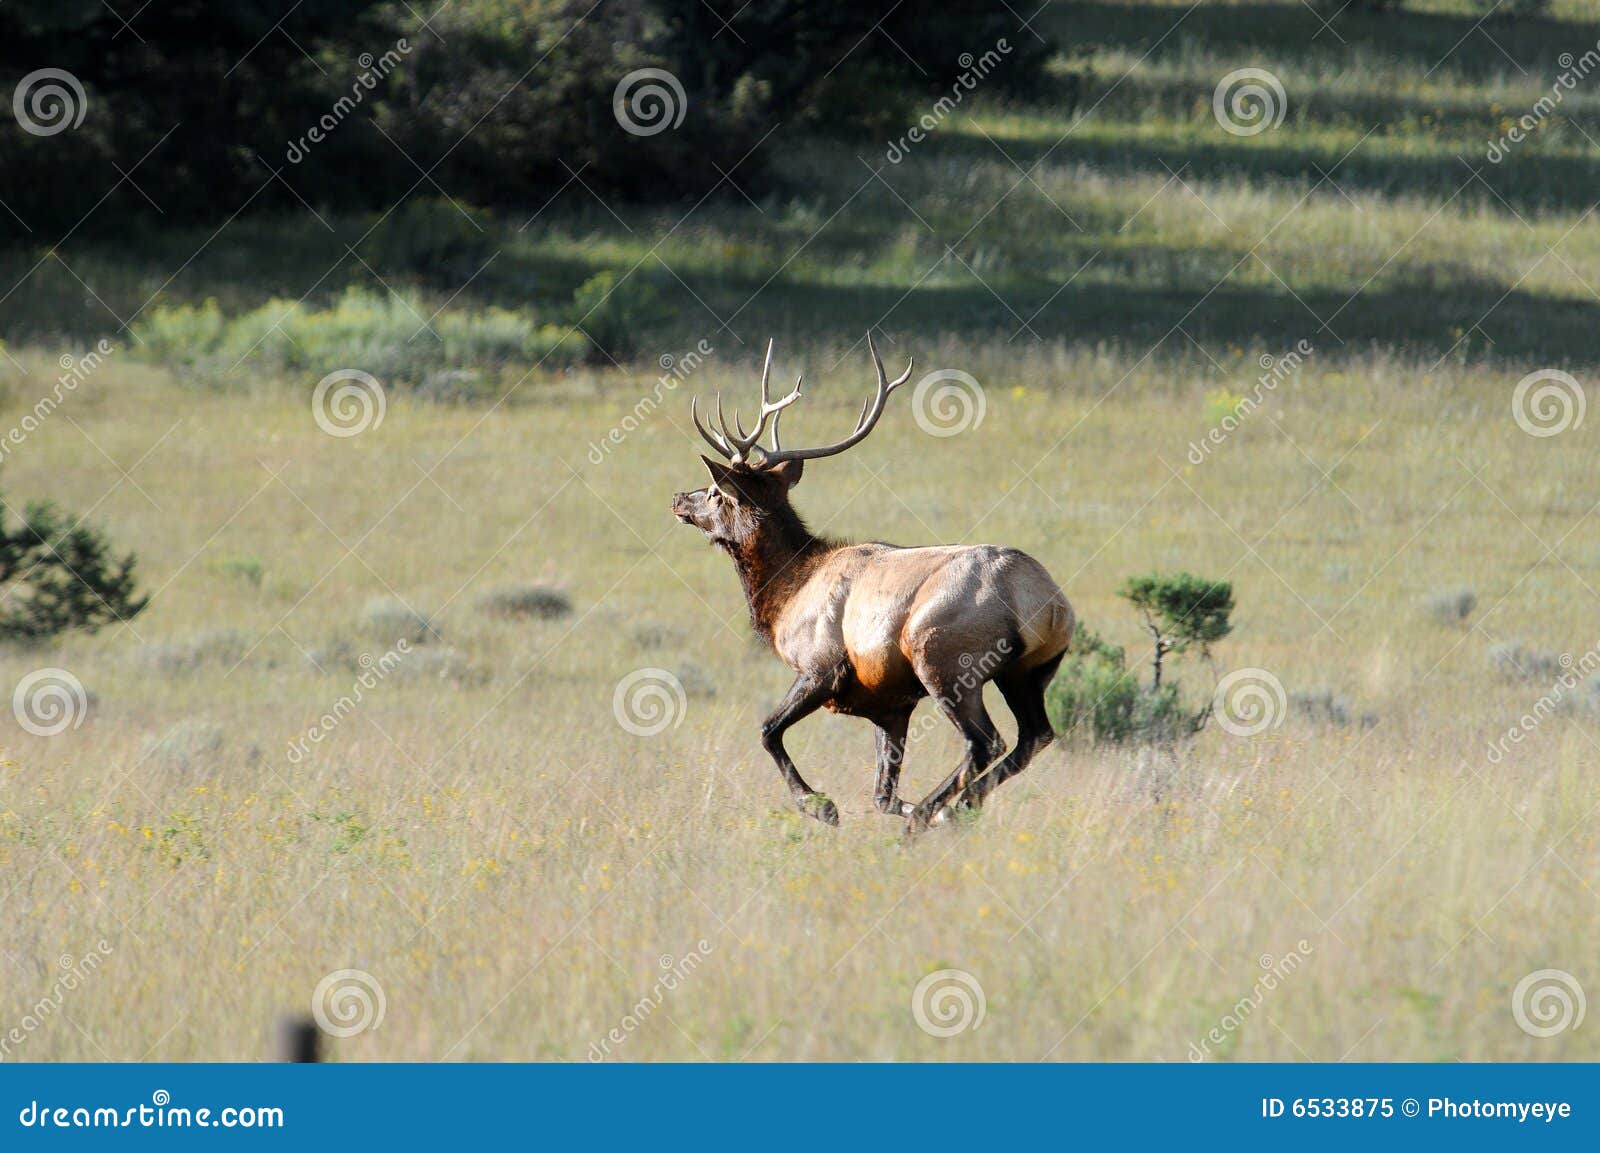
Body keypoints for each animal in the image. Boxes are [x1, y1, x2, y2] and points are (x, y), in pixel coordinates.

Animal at [670, 335, 1075, 836]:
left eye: (714, 492)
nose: (678, 498)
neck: (785, 597)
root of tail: (1048, 604)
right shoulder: (890, 703)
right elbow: (882, 794)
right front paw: (894, 805)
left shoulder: (821, 667)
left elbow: (767, 730)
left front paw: (821, 805)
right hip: (1029, 671)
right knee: (1034, 736)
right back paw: (949, 808)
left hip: (944, 659)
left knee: (986, 741)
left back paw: (933, 813)